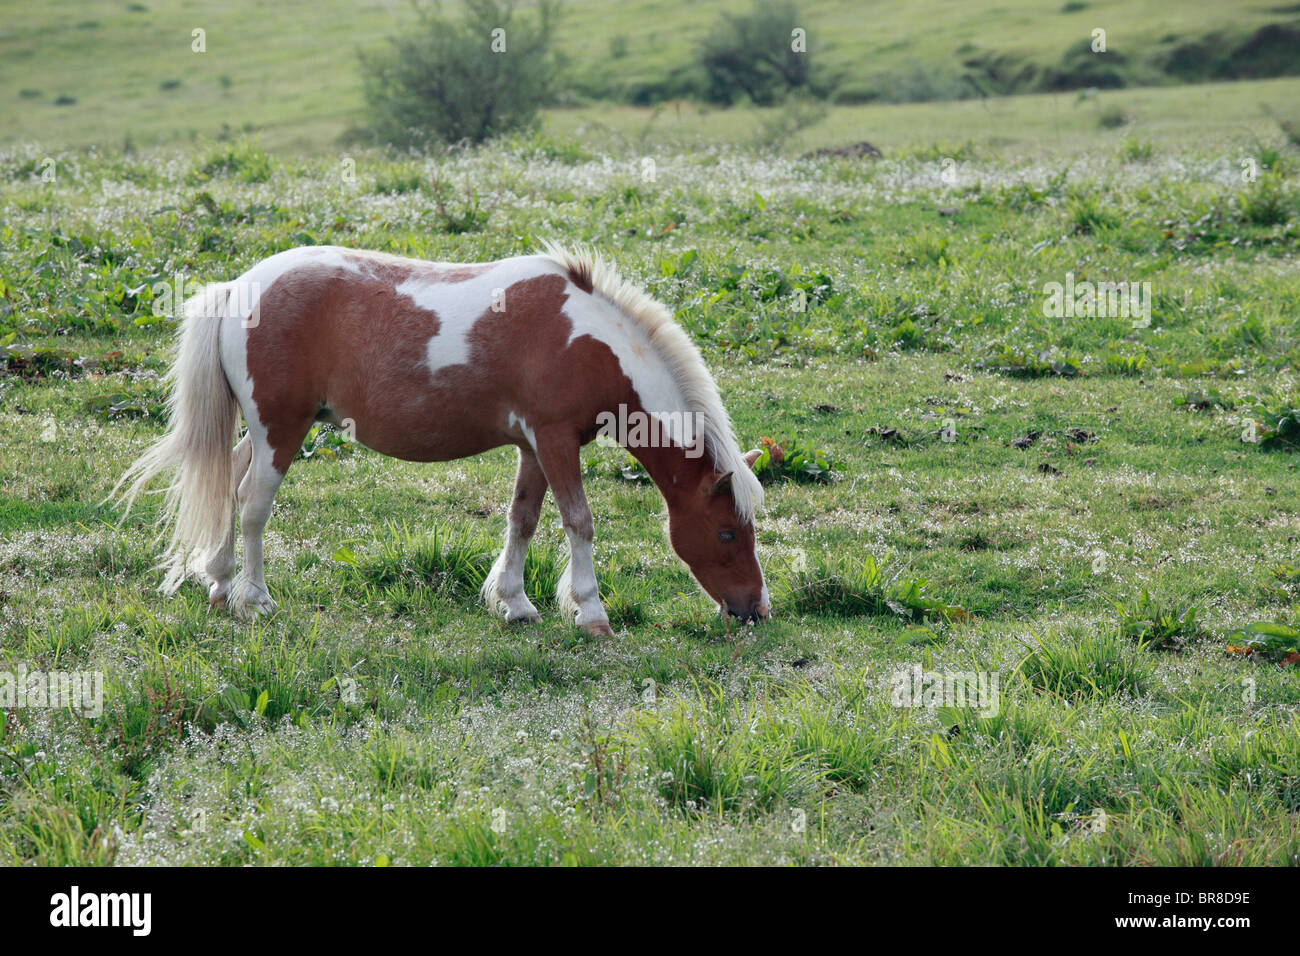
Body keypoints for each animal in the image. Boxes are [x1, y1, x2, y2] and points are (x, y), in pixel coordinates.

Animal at [112, 243, 769, 635]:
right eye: (727, 532)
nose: (756, 609)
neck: (584, 339)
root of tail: (236, 287)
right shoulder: (556, 440)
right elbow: (578, 522)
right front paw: (591, 613)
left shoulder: (534, 446)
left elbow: (523, 520)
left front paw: (514, 602)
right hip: (281, 430)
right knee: (253, 505)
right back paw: (254, 597)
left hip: (259, 430)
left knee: (228, 489)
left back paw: (220, 584)